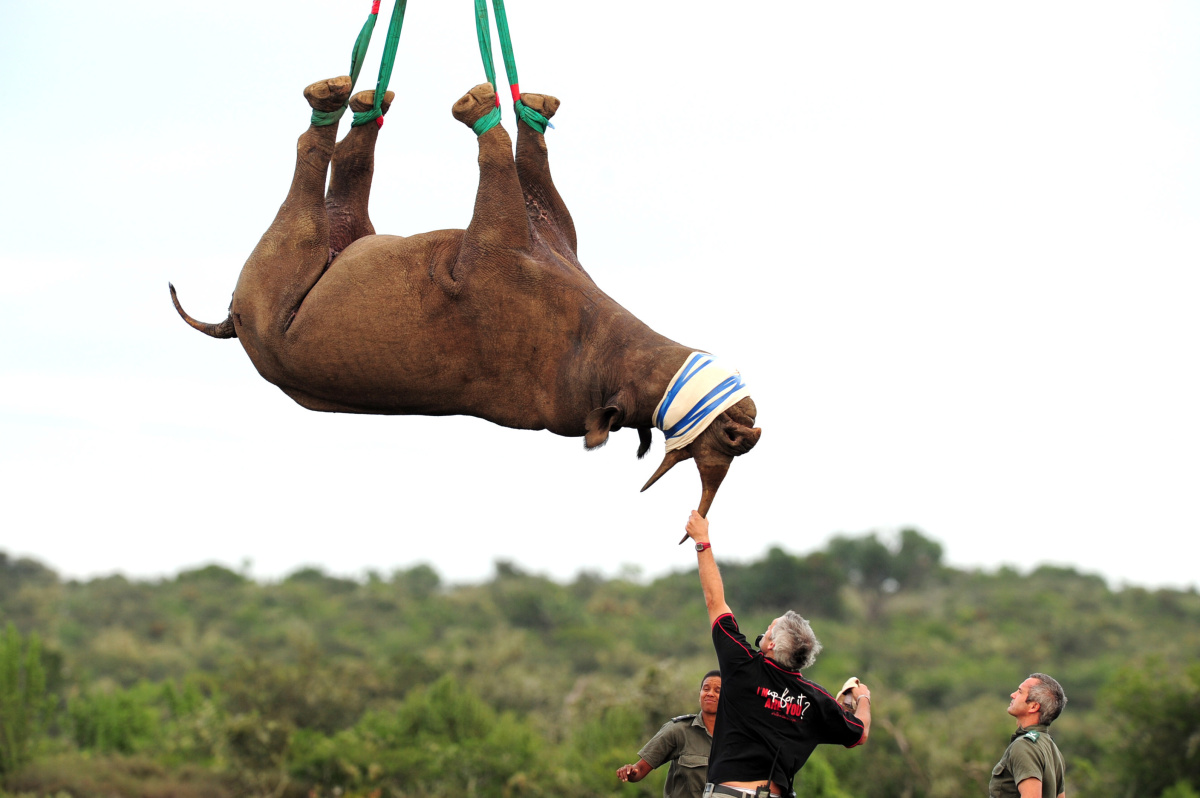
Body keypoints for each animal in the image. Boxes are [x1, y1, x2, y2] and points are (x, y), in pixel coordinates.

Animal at [170, 76, 760, 518]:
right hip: (320, 249)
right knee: (346, 166)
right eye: (725, 442)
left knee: (321, 164)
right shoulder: (536, 230)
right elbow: (525, 167)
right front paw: (524, 109)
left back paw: (340, 100)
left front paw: (486, 106)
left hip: (287, 263)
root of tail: (231, 320)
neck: (597, 344)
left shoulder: (504, 237)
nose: (745, 431)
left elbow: (499, 157)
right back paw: (361, 100)